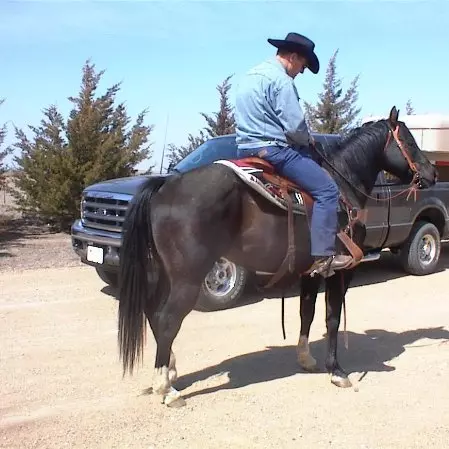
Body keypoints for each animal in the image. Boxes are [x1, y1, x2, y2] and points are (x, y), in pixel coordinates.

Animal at [115, 107, 434, 406]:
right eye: (409, 140)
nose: (432, 173)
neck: (343, 186)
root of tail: (164, 188)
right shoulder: (341, 271)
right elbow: (332, 318)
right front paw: (336, 371)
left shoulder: (311, 271)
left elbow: (307, 312)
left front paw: (306, 358)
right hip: (188, 279)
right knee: (167, 320)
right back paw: (166, 389)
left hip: (162, 274)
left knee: (153, 314)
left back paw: (170, 371)